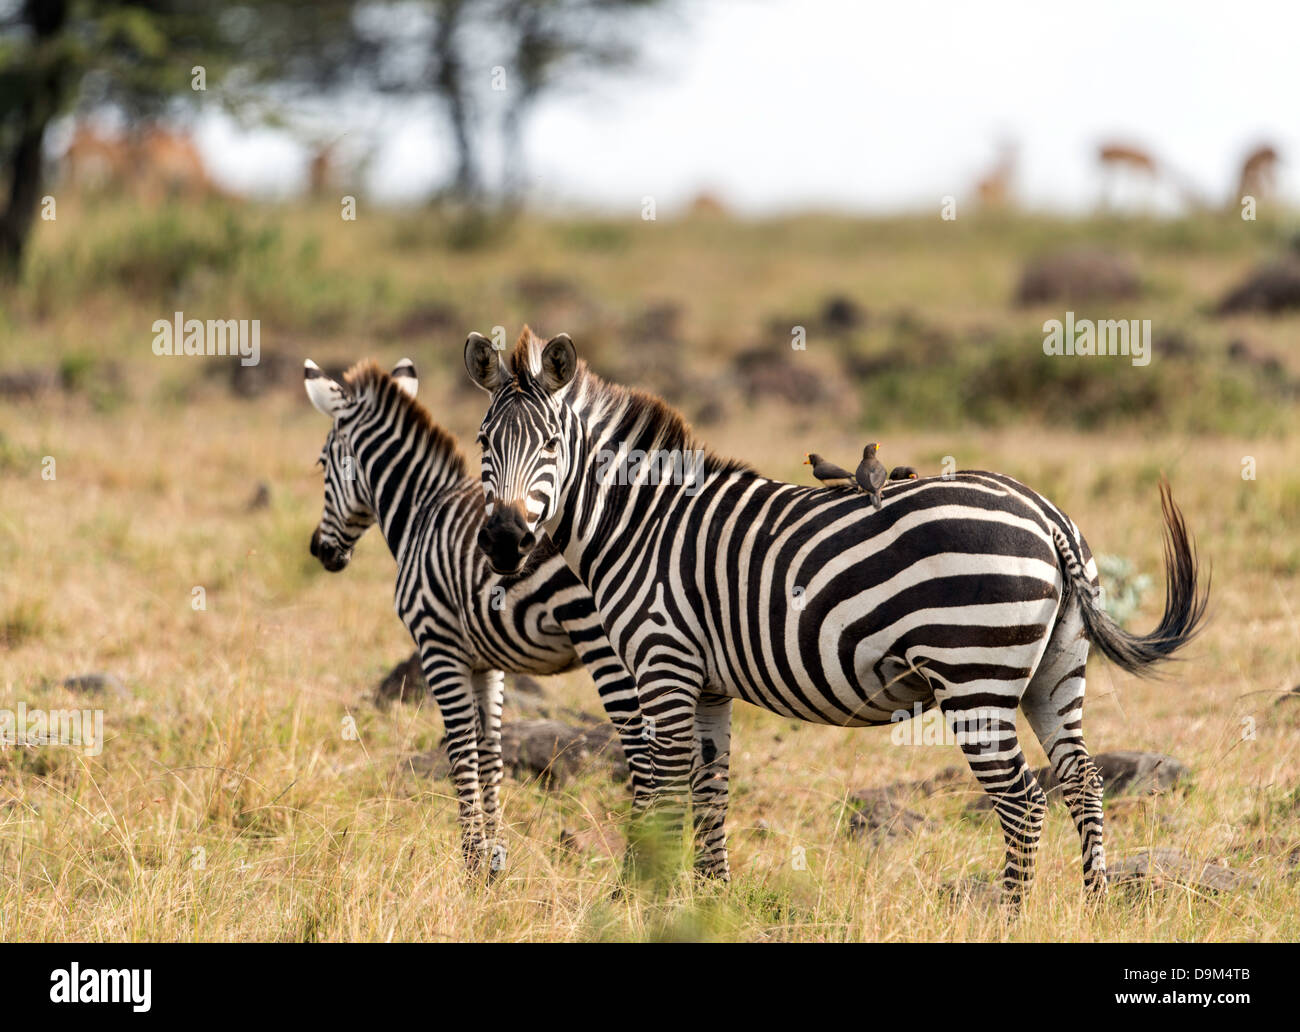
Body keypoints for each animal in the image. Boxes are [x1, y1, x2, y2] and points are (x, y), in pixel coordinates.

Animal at [302, 355, 652, 873]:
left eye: (324, 465)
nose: (320, 552)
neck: (420, 513)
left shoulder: (438, 647)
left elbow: (461, 749)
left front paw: (471, 860)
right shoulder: (487, 661)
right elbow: (491, 751)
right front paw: (494, 856)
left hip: (608, 644)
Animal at [463, 327, 1208, 902]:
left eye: (552, 446)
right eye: (482, 442)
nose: (502, 540)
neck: (641, 524)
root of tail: (1046, 515)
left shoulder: (663, 662)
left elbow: (657, 783)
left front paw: (636, 893)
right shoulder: (706, 685)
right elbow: (711, 790)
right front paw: (711, 896)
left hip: (975, 673)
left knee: (1023, 800)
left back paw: (1011, 914)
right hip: (1054, 669)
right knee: (1082, 779)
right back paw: (1094, 901)